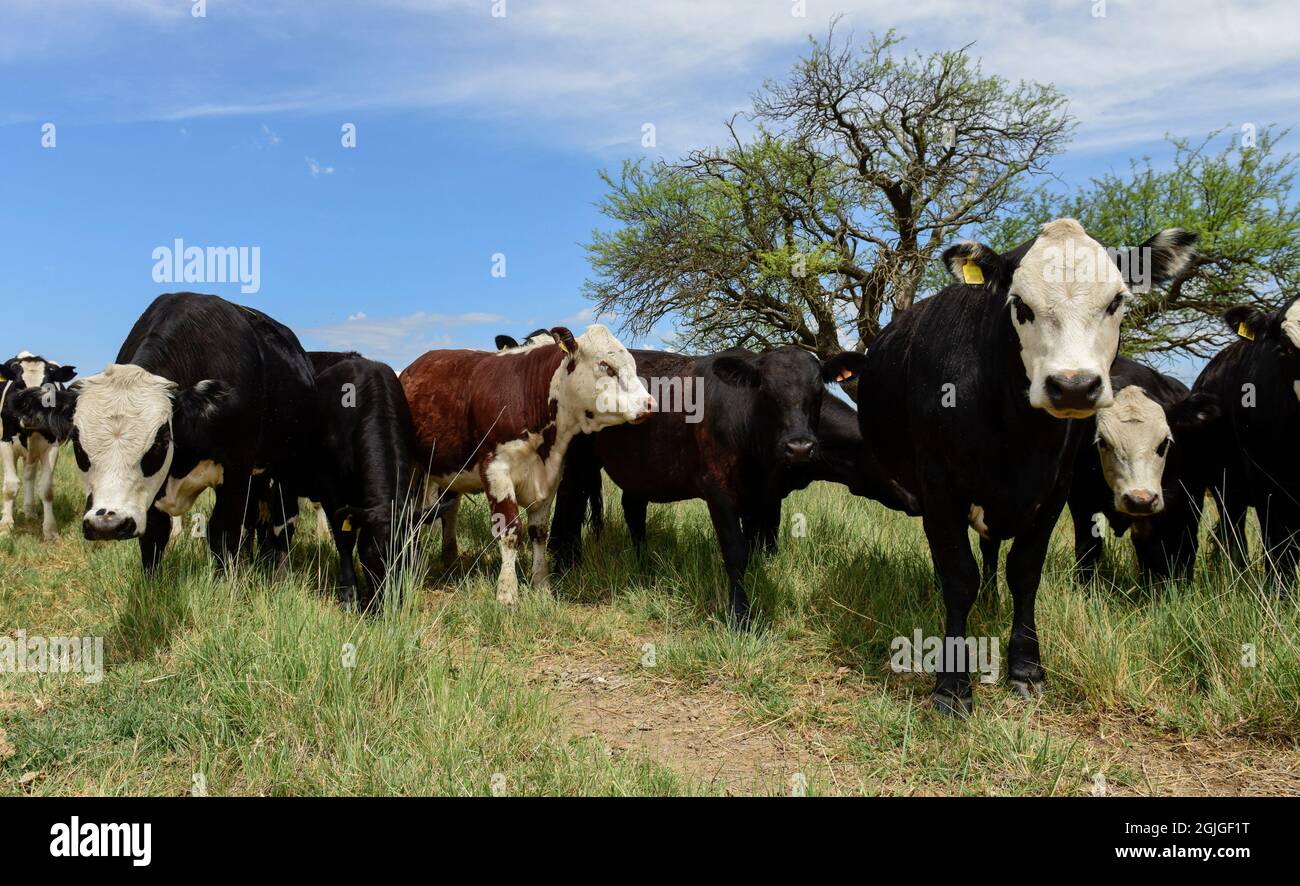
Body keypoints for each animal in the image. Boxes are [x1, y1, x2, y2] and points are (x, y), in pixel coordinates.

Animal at [0, 352, 77, 540]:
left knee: (29, 475)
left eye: (47, 388)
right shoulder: (5, 442)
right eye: (18, 386)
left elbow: (46, 489)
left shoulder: (52, 447)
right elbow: (10, 486)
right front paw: (6, 526)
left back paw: (30, 511)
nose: (31, 417)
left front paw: (50, 530)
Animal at [13, 293, 319, 571]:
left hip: (285, 467)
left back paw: (277, 570)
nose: (107, 524)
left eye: (160, 442)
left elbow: (223, 533)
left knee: (281, 521)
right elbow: (154, 537)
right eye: (78, 443)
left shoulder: (235, 472)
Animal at [400, 325, 654, 606]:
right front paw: (507, 593)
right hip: (415, 469)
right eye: (606, 366)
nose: (649, 403)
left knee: (449, 511)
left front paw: (542, 585)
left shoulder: (550, 477)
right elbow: (510, 532)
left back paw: (450, 560)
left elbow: (538, 532)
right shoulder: (496, 471)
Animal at [549, 346, 920, 625]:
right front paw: (740, 616)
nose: (800, 447)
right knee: (569, 506)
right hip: (579, 460)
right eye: (765, 393)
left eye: (817, 393)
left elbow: (760, 544)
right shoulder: (719, 490)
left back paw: (642, 566)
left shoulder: (763, 498)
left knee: (632, 512)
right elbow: (736, 551)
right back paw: (563, 568)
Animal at [979, 356, 1219, 586]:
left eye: (1164, 443)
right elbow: (1088, 551)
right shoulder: (1082, 502)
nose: (1139, 500)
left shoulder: (1181, 502)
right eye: (1102, 442)